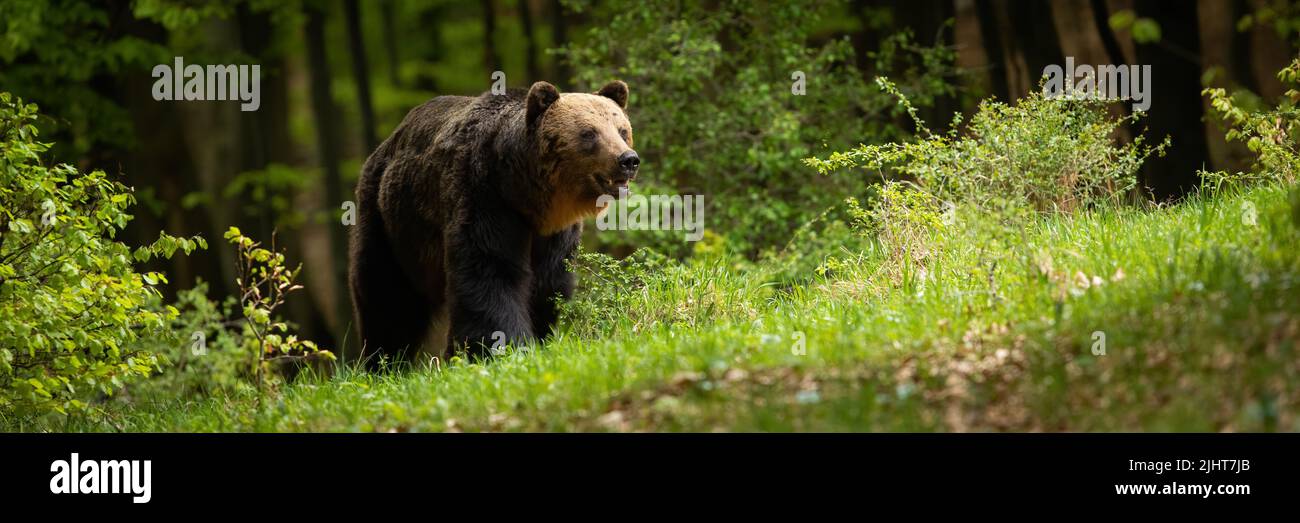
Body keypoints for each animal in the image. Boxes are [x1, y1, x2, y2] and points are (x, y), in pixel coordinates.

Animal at [348, 80, 638, 365]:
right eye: (589, 133)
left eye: (622, 130)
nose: (628, 159)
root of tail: (386, 143)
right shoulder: (484, 198)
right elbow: (490, 273)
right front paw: (506, 348)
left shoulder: (554, 233)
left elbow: (548, 283)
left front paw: (539, 336)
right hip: (390, 221)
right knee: (386, 292)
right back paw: (383, 360)